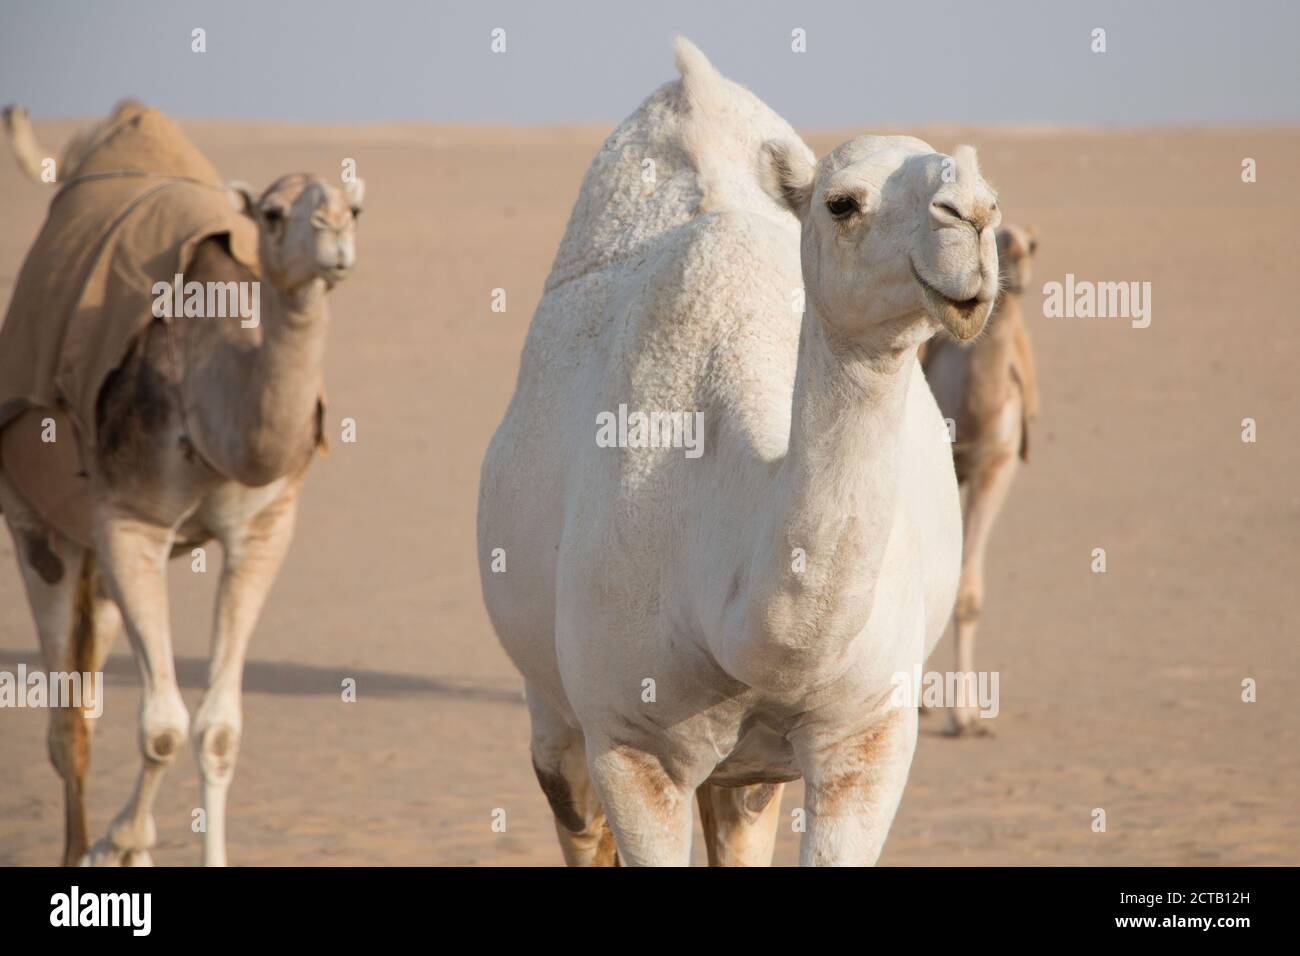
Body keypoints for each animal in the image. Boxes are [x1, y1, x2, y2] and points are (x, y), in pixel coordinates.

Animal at [0, 104, 363, 865]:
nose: (336, 232)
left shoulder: (262, 532)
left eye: (356, 206)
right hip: (36, 523)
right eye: (275, 212)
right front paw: (118, 841)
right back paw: (79, 849)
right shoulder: (128, 520)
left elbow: (217, 730)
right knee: (67, 721)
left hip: (95, 560)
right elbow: (161, 726)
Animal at [477, 38, 1000, 866]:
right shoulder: (631, 743)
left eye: (990, 197)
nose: (973, 216)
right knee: (574, 808)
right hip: (552, 709)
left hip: (748, 769)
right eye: (842, 202)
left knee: (739, 812)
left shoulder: (868, 736)